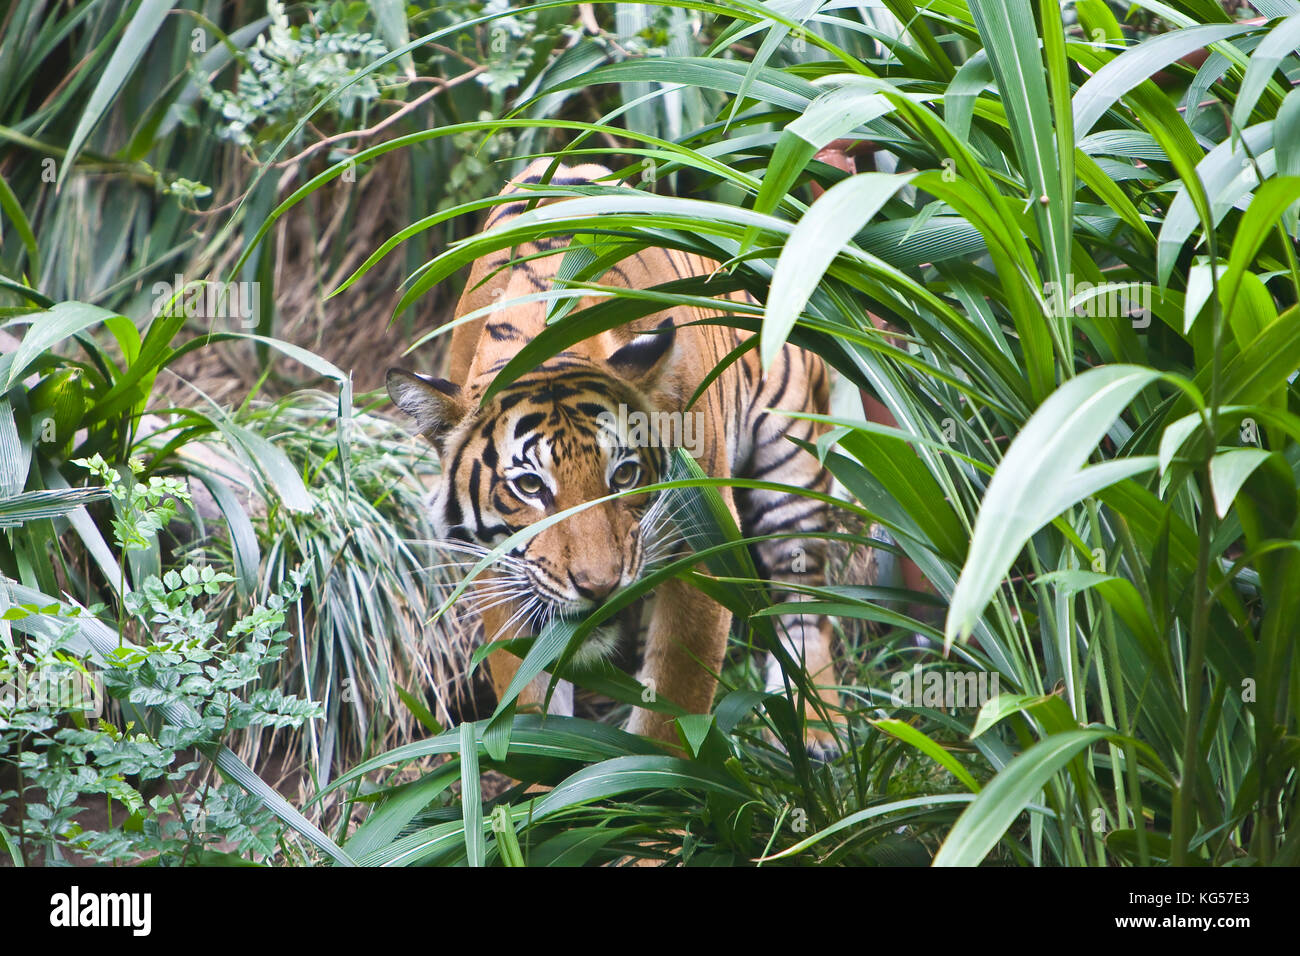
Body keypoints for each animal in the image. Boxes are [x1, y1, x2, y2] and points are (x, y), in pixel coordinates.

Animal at [388, 160, 841, 757]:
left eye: (624, 475)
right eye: (530, 487)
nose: (600, 589)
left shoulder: (703, 538)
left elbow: (675, 700)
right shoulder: (500, 566)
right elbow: (526, 695)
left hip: (792, 466)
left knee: (807, 604)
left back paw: (817, 727)